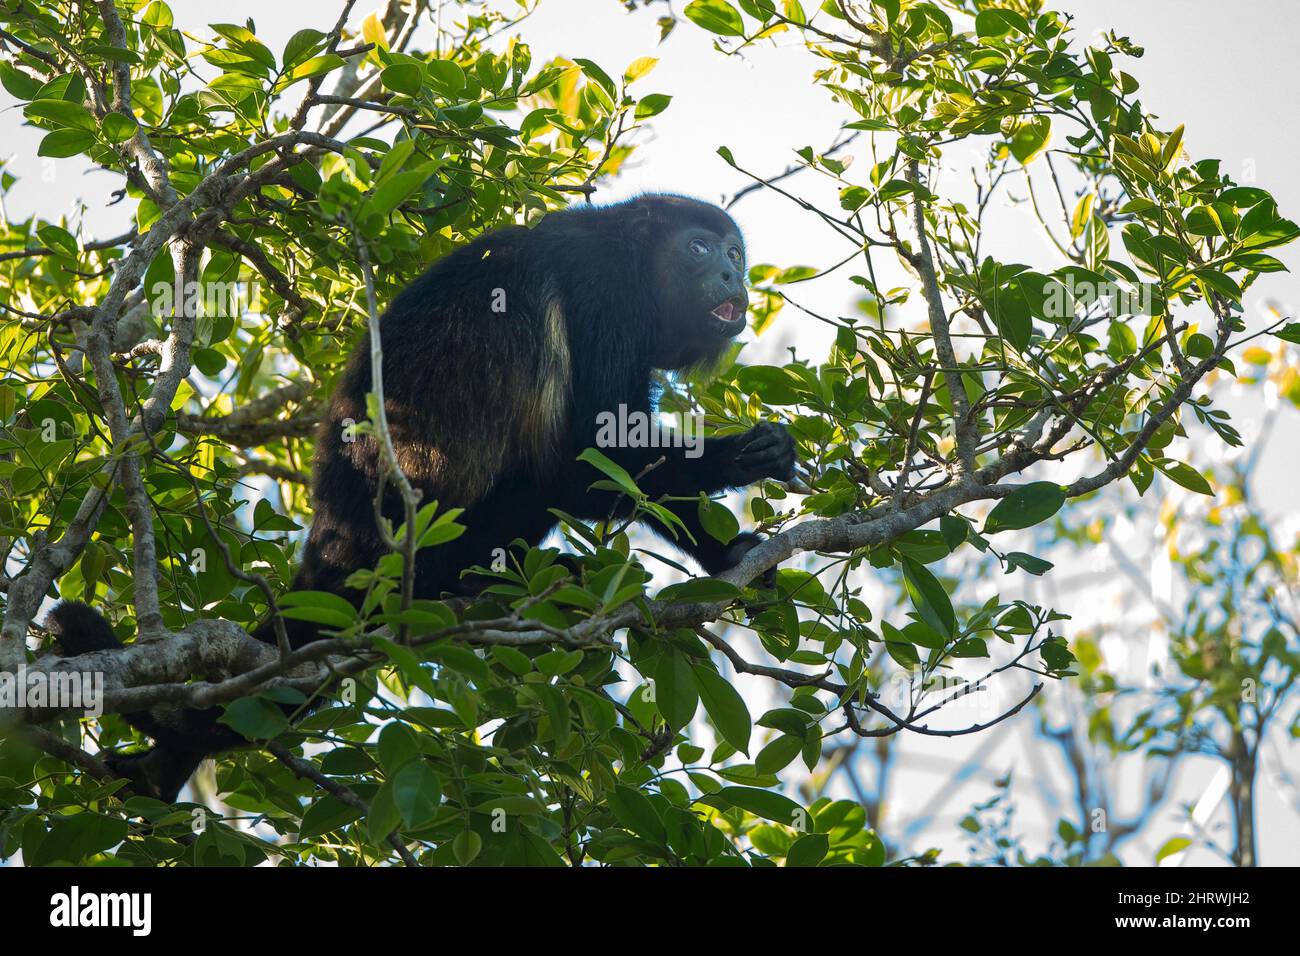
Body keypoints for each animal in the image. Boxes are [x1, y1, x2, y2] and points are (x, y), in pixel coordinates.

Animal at [47, 193, 796, 801]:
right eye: (699, 248)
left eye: (735, 253)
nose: (734, 276)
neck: (636, 264)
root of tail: (329, 547)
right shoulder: (603, 297)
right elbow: (587, 458)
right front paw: (740, 455)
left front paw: (729, 554)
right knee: (532, 480)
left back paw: (164, 763)